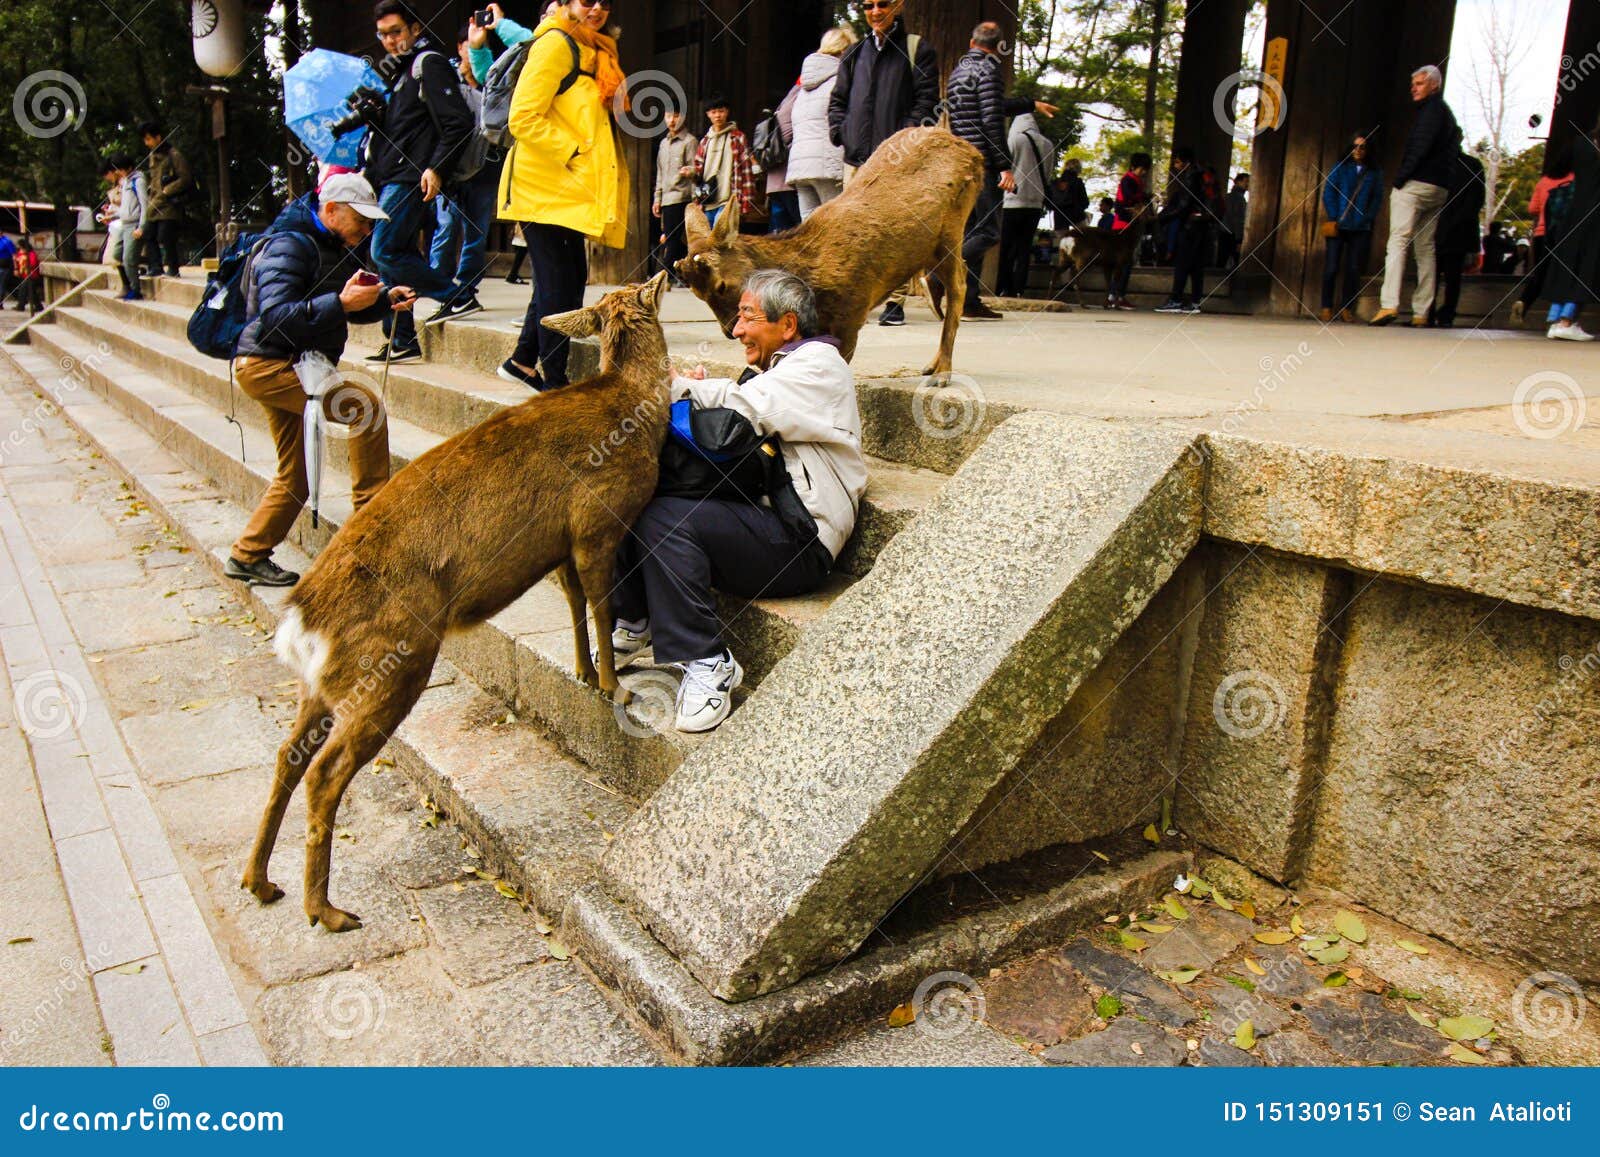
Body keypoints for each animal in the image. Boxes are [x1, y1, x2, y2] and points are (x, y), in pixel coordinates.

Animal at [243, 273, 673, 933]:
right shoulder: (597, 521)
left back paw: (261, 883)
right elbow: (601, 606)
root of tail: (301, 622)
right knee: (324, 773)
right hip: (391, 663)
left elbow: (575, 605)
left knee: (287, 756)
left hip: (322, 682)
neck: (631, 403)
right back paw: (328, 911)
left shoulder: (559, 544)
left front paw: (580, 673)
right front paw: (614, 686)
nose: (668, 269)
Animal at [676, 126, 984, 378]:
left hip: (952, 227)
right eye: (697, 294)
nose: (730, 331)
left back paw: (942, 370)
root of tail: (976, 154)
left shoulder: (852, 310)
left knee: (959, 282)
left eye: (721, 285)